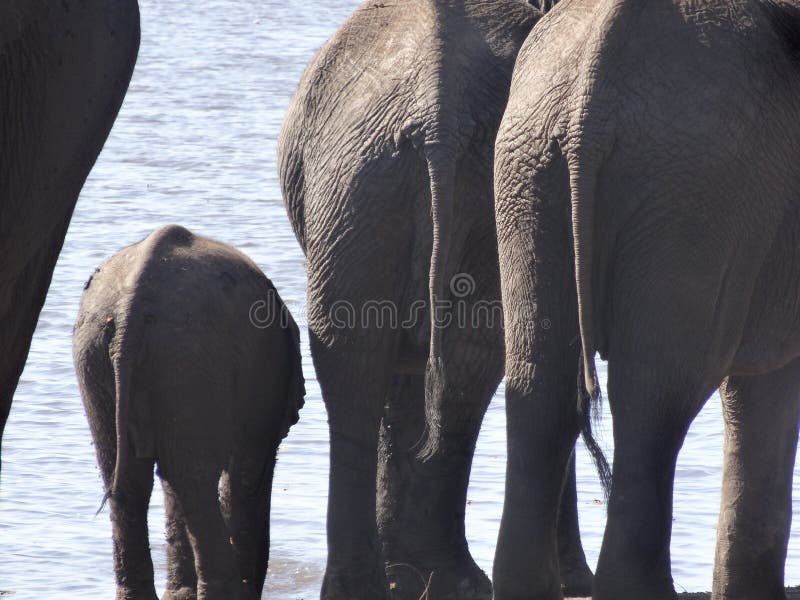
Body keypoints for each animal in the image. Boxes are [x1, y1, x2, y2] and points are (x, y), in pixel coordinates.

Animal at [73, 225, 305, 600]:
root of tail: (130, 306)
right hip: (188, 356)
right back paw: (226, 592)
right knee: (193, 481)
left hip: (103, 355)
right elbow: (247, 474)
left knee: (130, 481)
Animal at [278, 0, 596, 598]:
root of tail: (437, 115)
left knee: (380, 363)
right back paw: (427, 579)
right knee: (388, 361)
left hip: (360, 190)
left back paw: (414, 579)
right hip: (364, 189)